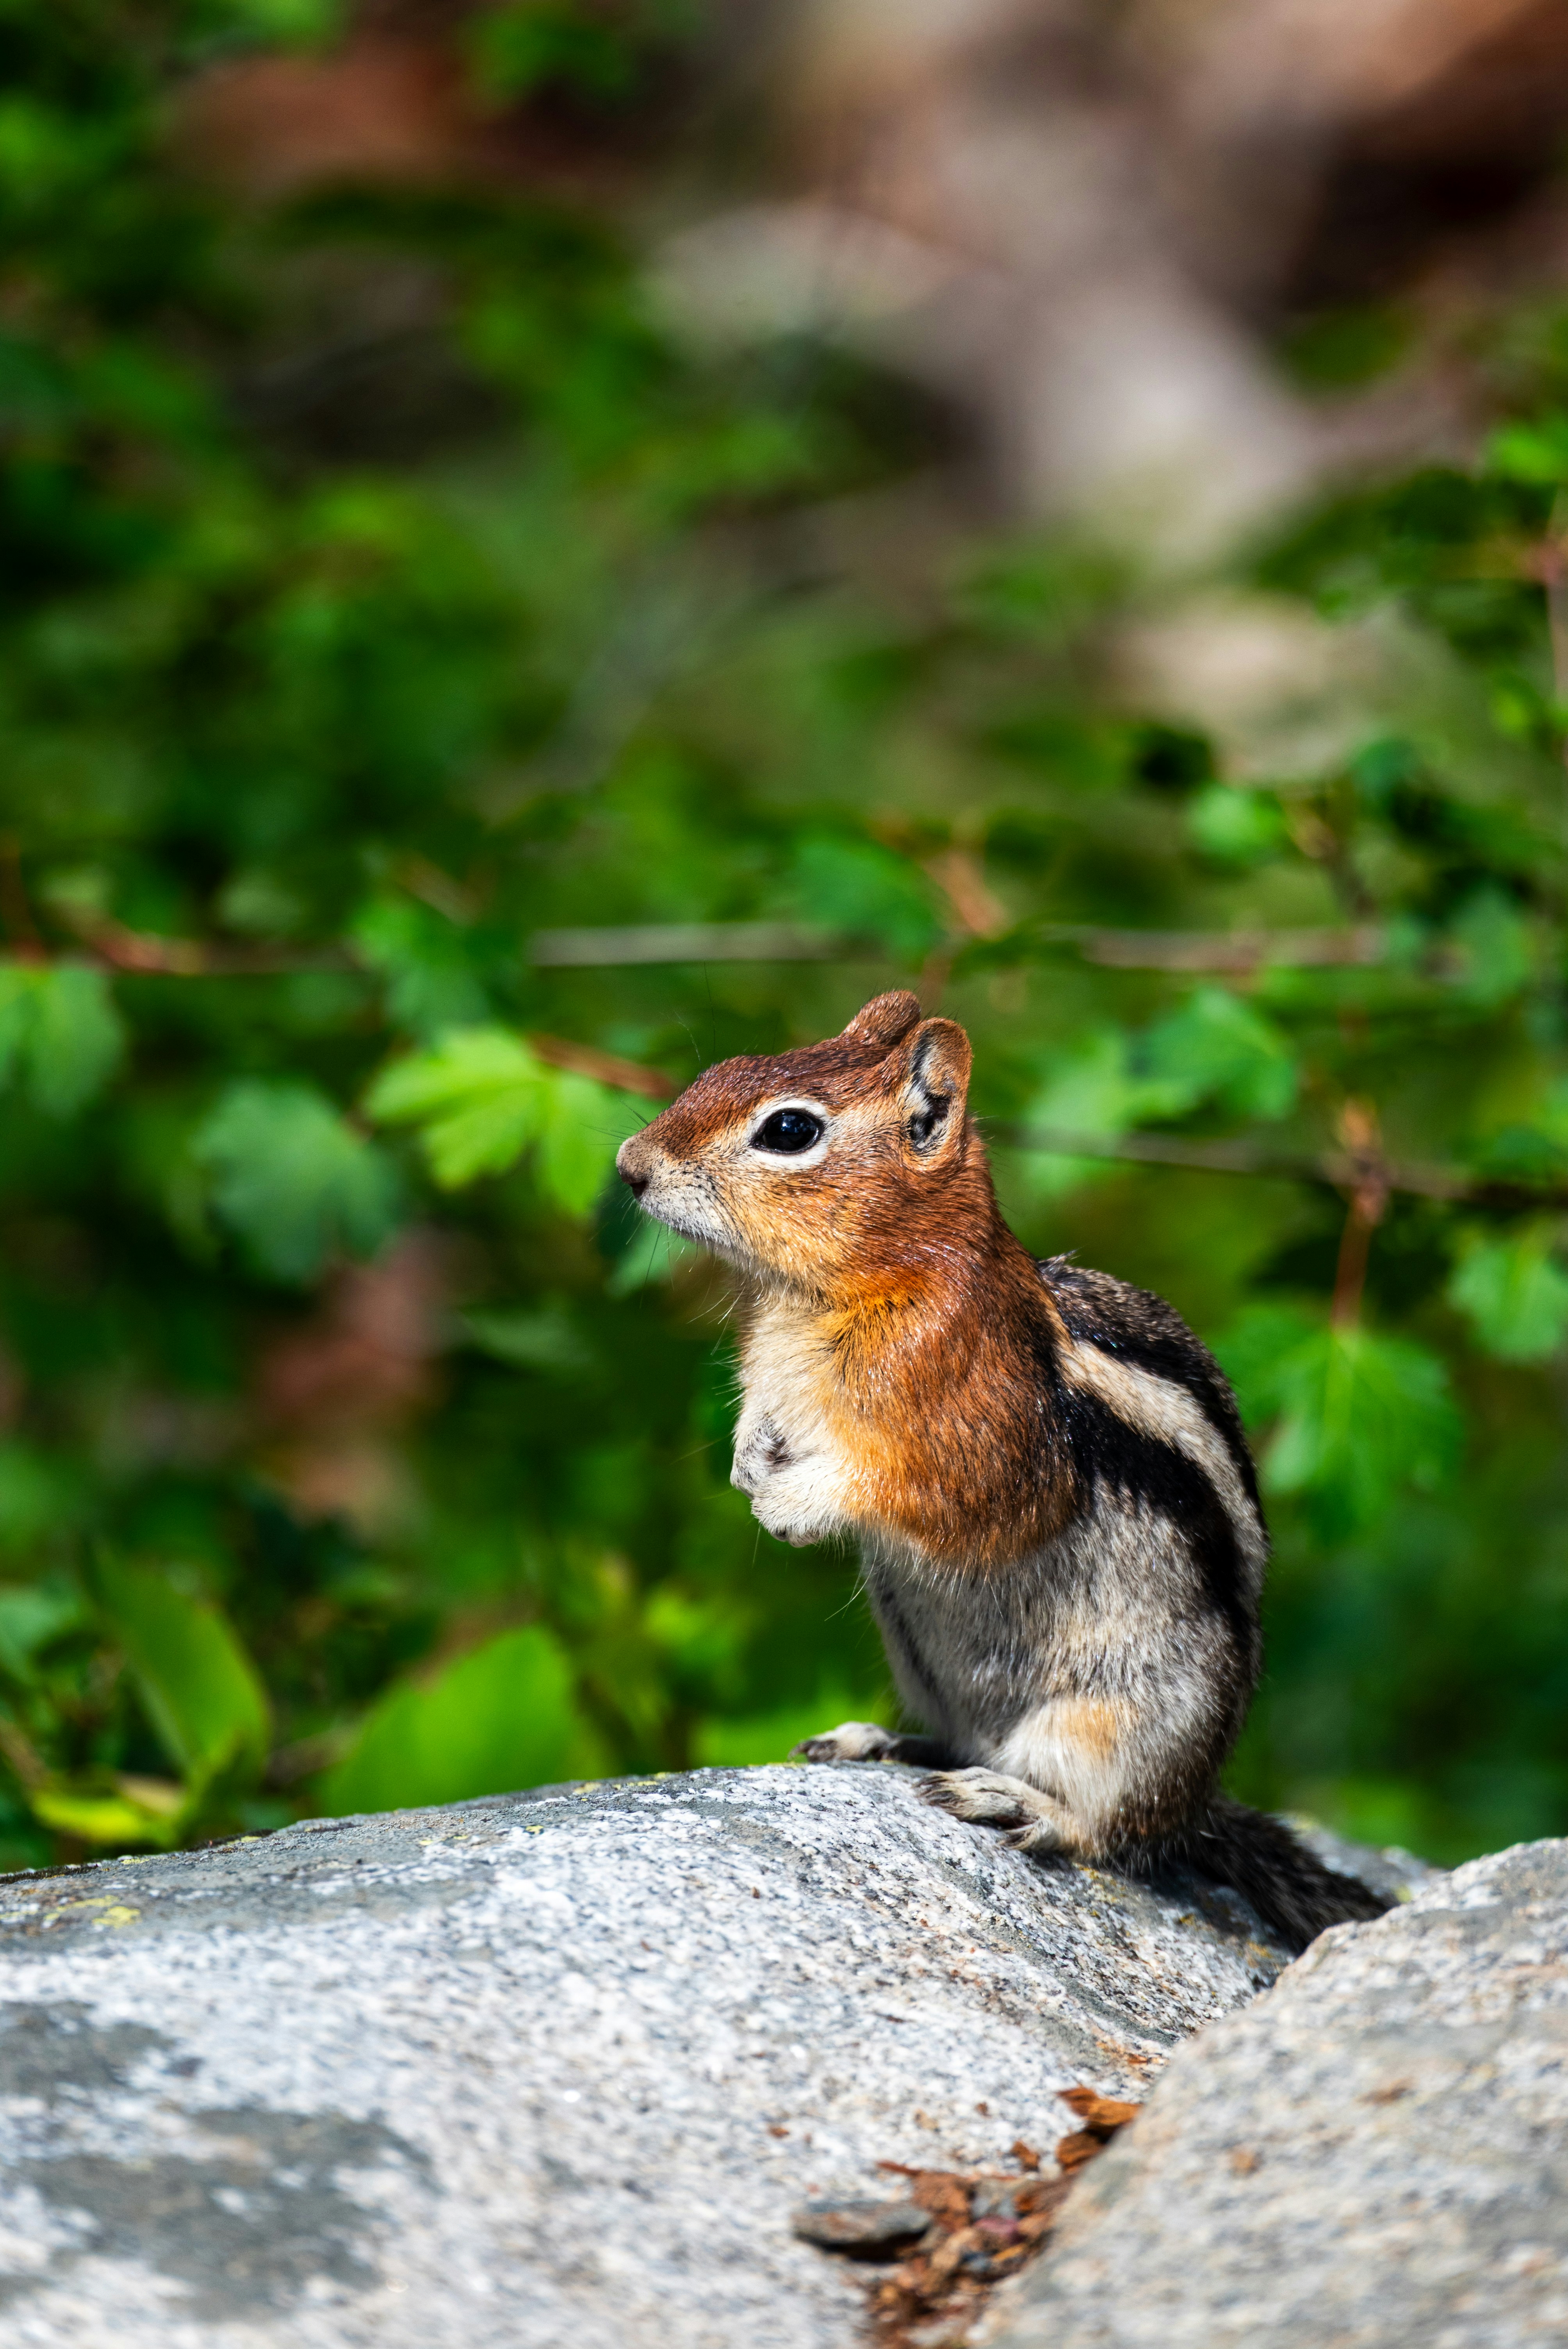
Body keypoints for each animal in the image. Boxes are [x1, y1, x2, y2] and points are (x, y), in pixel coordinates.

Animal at [616, 989, 1390, 1952]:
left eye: (789, 1130)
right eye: (724, 1068)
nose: (629, 1166)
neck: (840, 1291)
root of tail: (1197, 1802)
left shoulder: (994, 1438)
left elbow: (939, 1494)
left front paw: (793, 1503)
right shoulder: (773, 1382)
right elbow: (762, 1424)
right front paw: (750, 1463)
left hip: (1118, 1728)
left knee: (1113, 1831)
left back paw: (1017, 1800)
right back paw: (880, 1742)